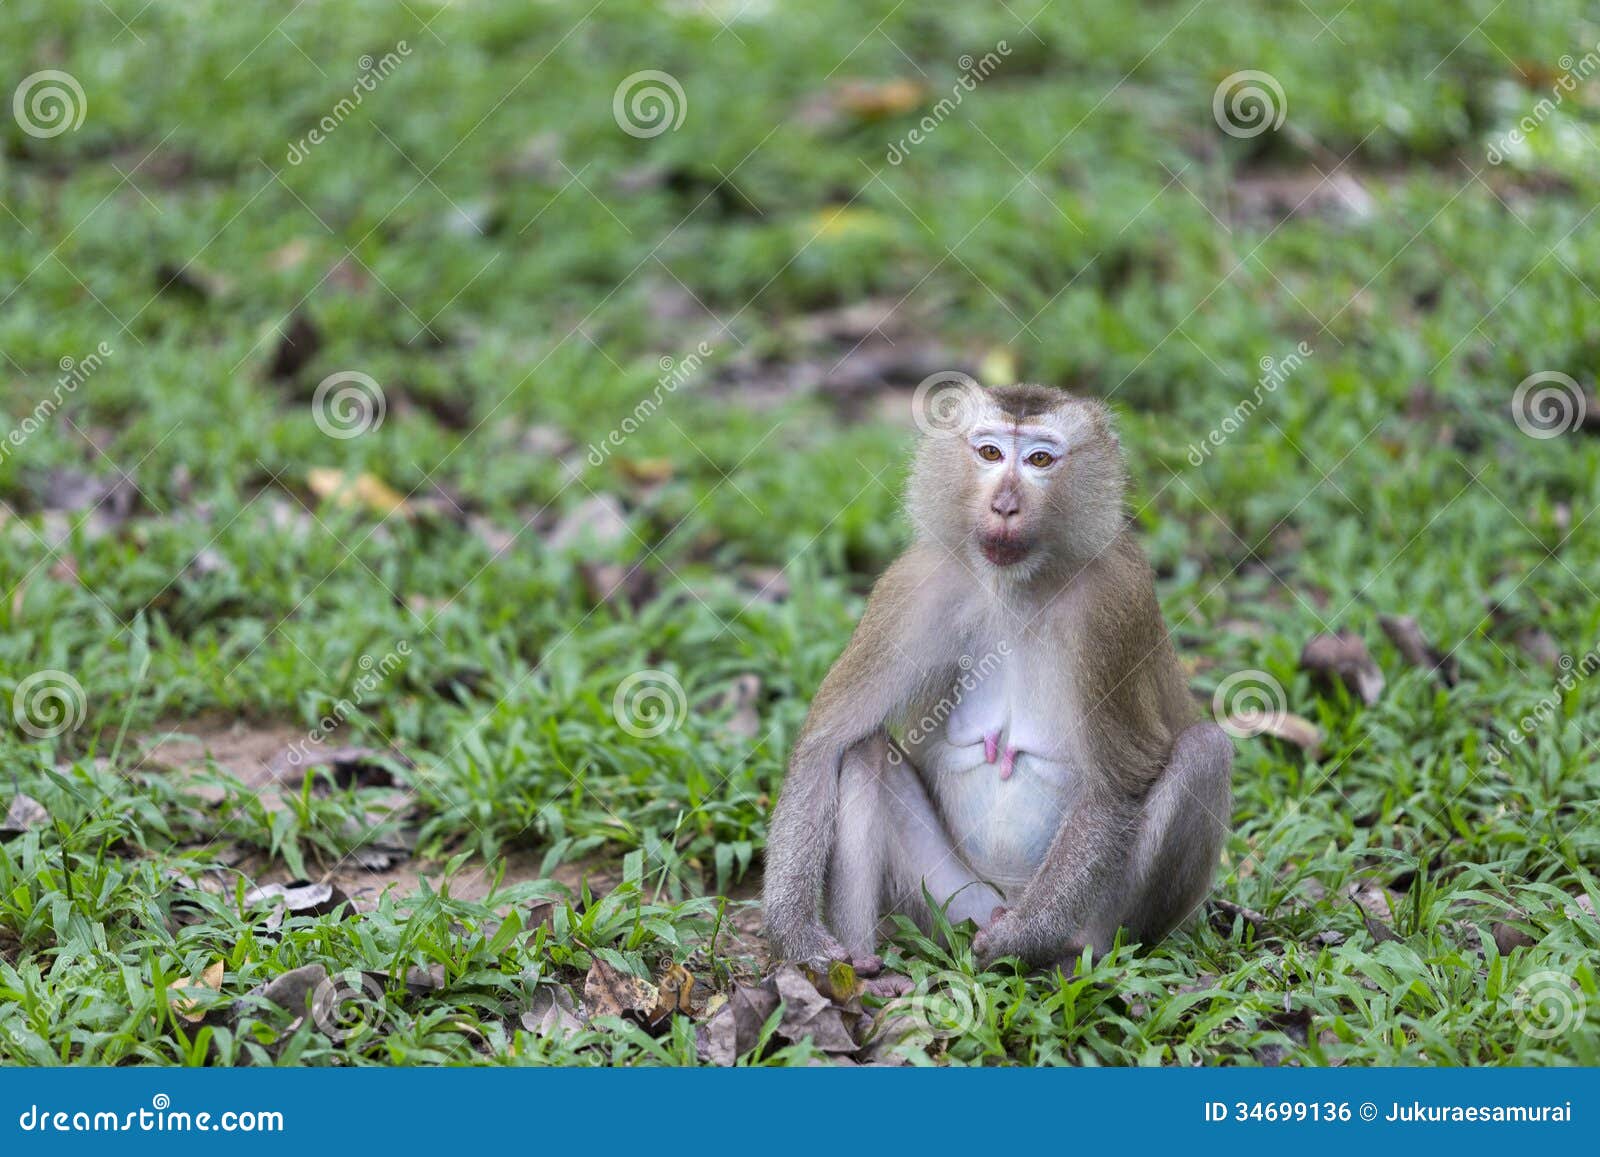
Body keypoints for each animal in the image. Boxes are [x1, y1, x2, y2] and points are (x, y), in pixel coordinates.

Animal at [762, 381, 1233, 975]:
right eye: (989, 453)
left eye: (1039, 460)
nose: (1004, 505)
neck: (1020, 585)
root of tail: (1002, 898)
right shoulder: (912, 587)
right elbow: (825, 745)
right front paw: (798, 935)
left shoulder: (1116, 604)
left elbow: (1117, 782)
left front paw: (1023, 938)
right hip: (954, 903)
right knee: (866, 754)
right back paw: (864, 971)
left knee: (1205, 752)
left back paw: (1069, 951)